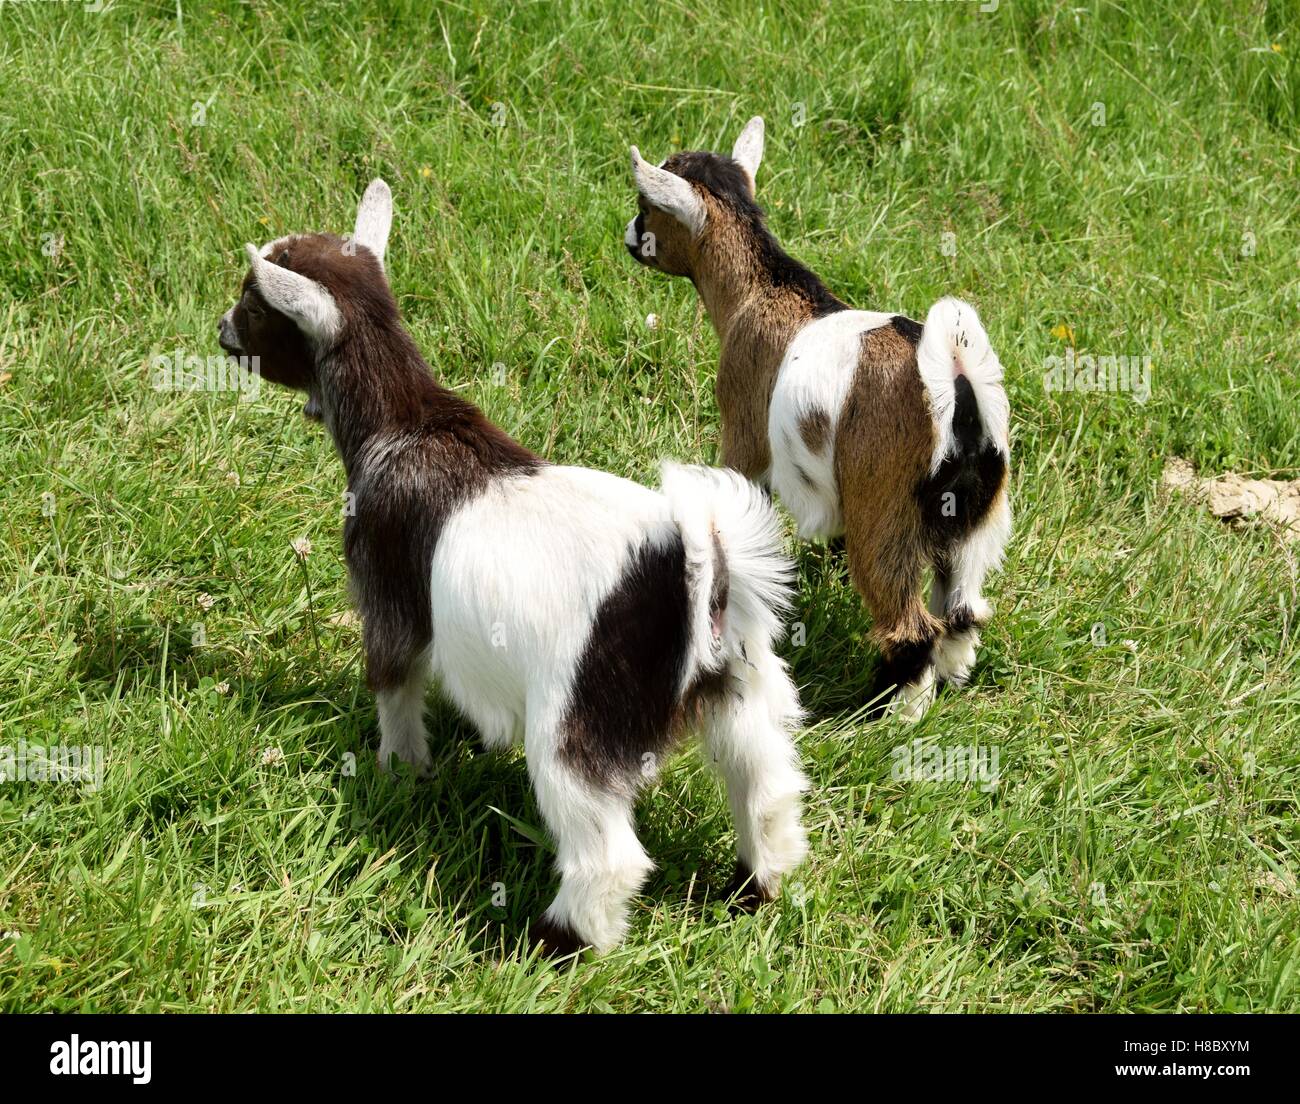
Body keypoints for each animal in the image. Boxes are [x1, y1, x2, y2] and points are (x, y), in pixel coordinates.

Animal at [216, 179, 808, 954]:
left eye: (255, 302)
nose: (221, 332)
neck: (405, 425)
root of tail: (696, 575)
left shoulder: (386, 590)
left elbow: (394, 682)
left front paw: (400, 773)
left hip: (574, 723)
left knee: (605, 847)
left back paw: (556, 940)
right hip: (745, 683)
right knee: (764, 786)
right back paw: (754, 887)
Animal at [624, 118, 1012, 721]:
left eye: (647, 203)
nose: (627, 234)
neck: (760, 292)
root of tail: (956, 385)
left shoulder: (743, 427)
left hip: (886, 509)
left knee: (910, 623)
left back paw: (888, 714)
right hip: (976, 516)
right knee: (964, 607)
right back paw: (949, 678)